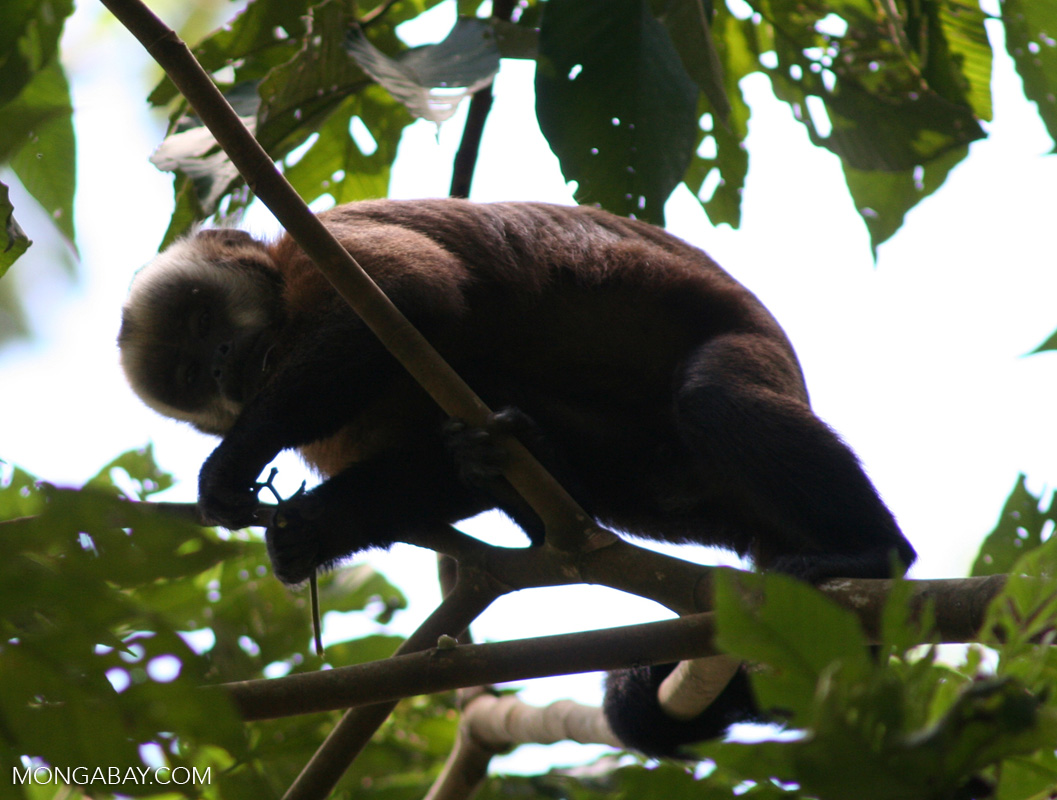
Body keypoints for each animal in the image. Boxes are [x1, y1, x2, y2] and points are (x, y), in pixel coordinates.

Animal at [118, 198, 915, 757]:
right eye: (189, 372)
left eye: (204, 322)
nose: (220, 366)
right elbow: (425, 471)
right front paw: (305, 533)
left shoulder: (327, 242)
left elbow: (413, 294)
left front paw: (232, 462)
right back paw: (534, 477)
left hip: (755, 353)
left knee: (713, 399)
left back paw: (872, 554)